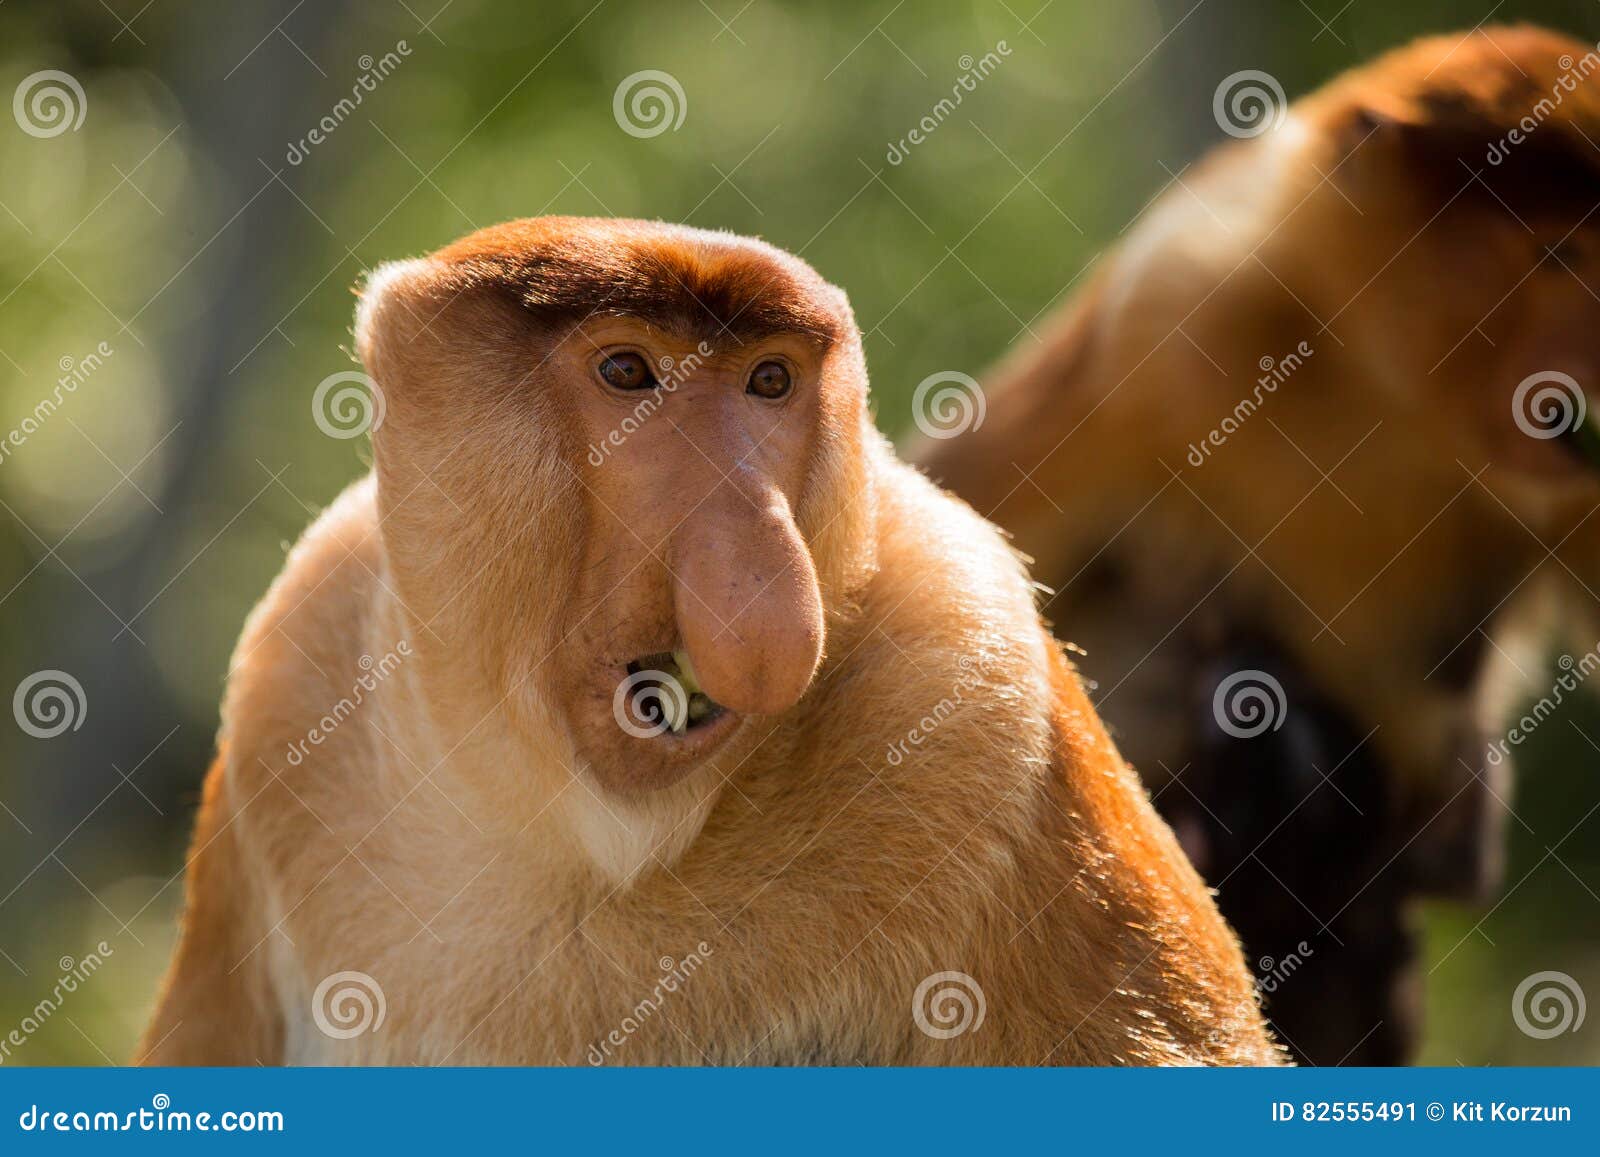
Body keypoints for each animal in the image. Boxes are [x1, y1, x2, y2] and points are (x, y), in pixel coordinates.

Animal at [136, 217, 1280, 1066]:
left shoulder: (969, 665)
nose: (763, 558)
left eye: (769, 382)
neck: (586, 839)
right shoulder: (295, 666)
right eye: (628, 371)